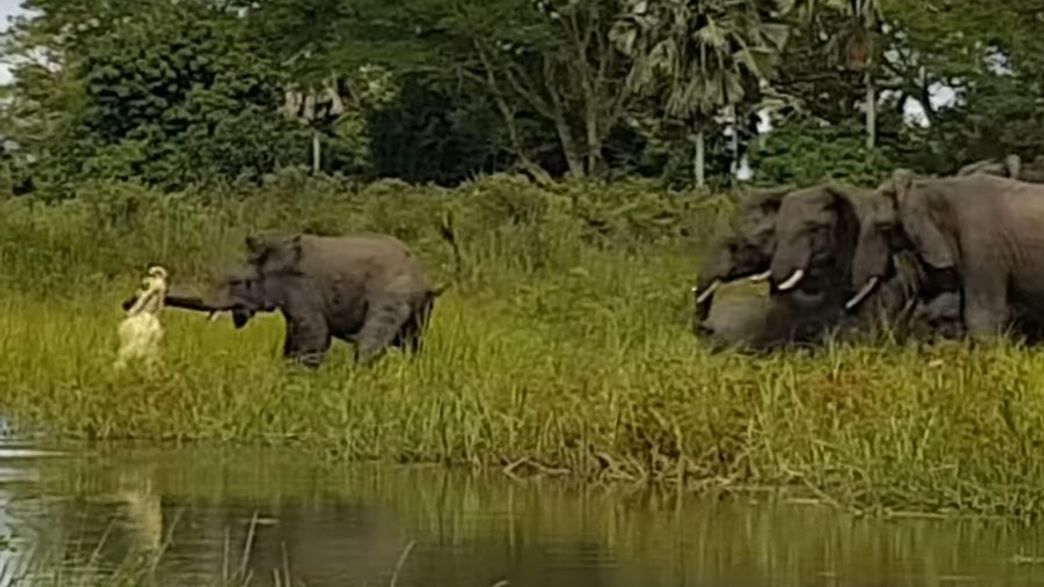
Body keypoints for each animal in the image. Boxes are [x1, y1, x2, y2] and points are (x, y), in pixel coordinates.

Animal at [122, 232, 446, 368]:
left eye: (237, 283)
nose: (127, 303)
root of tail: (425, 280)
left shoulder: (304, 292)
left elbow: (314, 337)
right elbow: (293, 340)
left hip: (392, 295)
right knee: (412, 343)